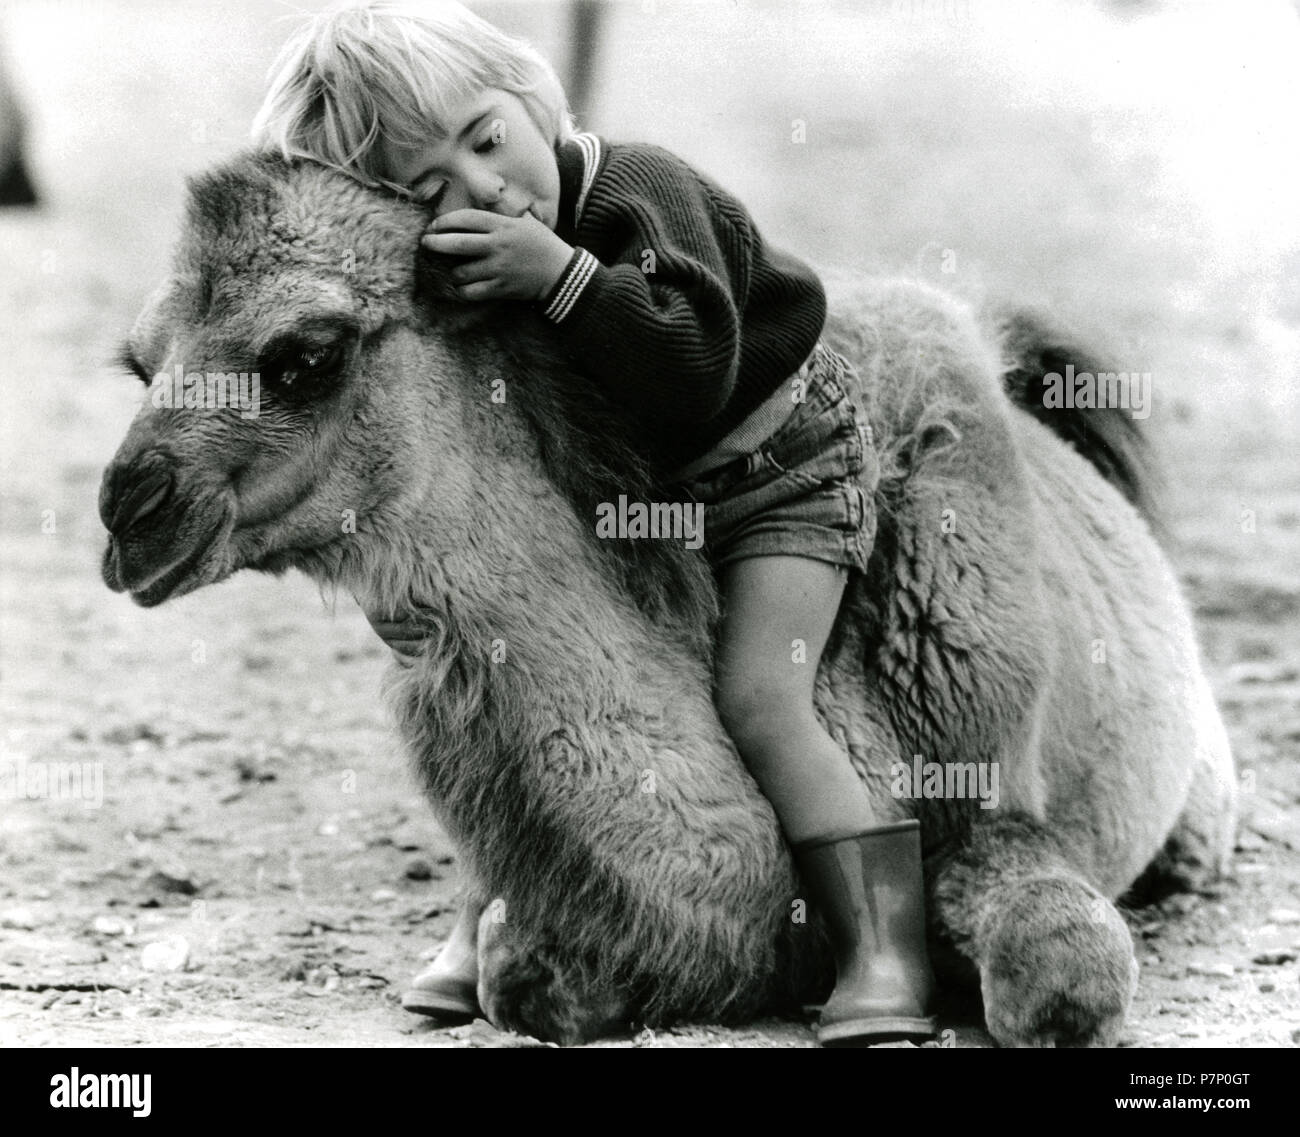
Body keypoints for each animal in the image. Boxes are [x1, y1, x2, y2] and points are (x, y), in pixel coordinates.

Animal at [99, 152, 1235, 1046]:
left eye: (307, 354)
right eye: (140, 362)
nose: (127, 511)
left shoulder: (997, 804)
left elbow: (1057, 988)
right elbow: (525, 972)